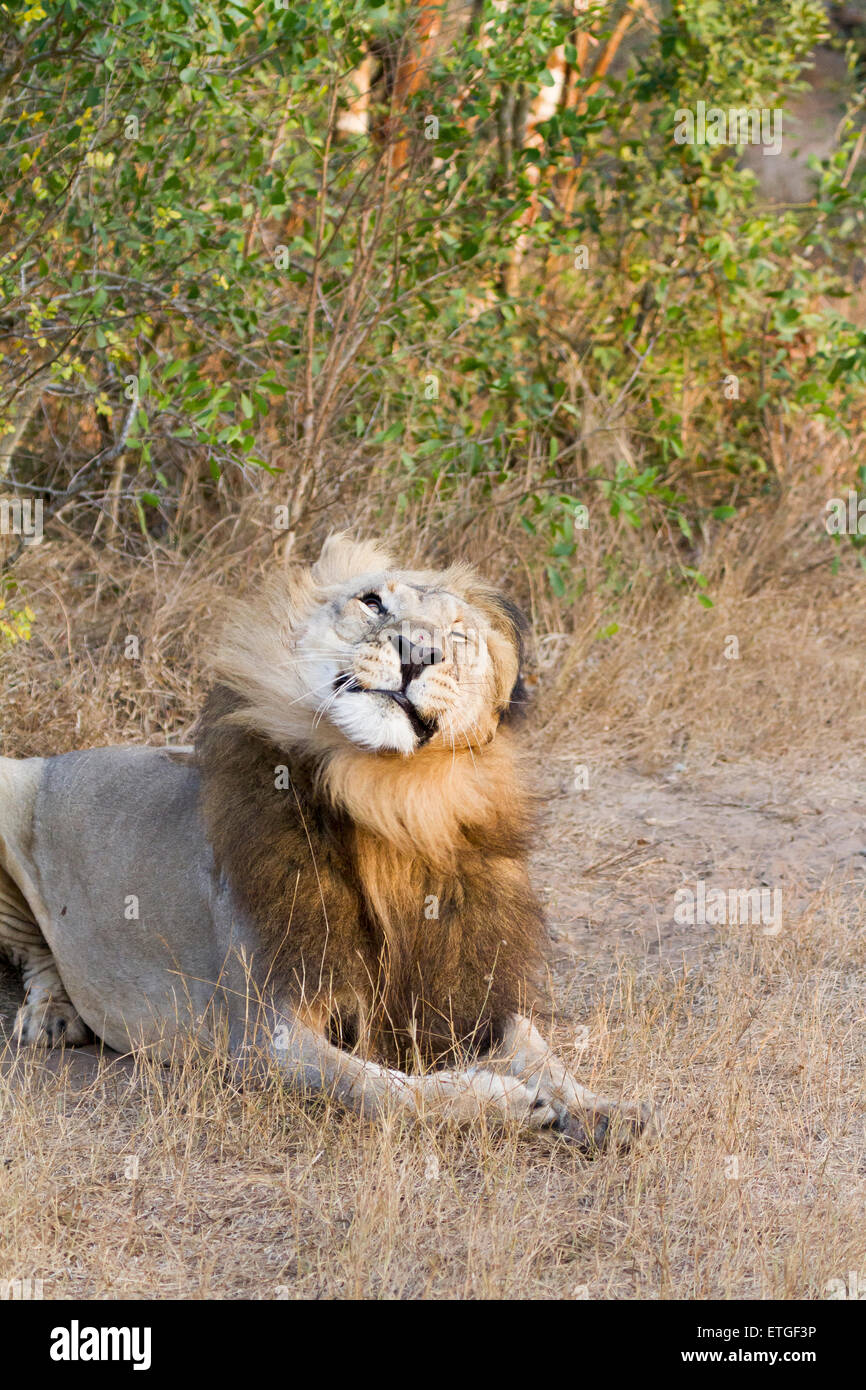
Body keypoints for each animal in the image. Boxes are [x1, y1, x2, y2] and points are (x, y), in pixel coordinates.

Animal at [0, 534, 654, 1150]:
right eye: (373, 602)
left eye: (459, 637)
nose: (418, 652)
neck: (389, 799)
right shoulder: (265, 1036)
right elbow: (383, 1090)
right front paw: (503, 1101)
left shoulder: (467, 985)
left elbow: (537, 1047)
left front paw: (606, 1108)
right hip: (12, 787)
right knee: (35, 953)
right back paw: (52, 1015)